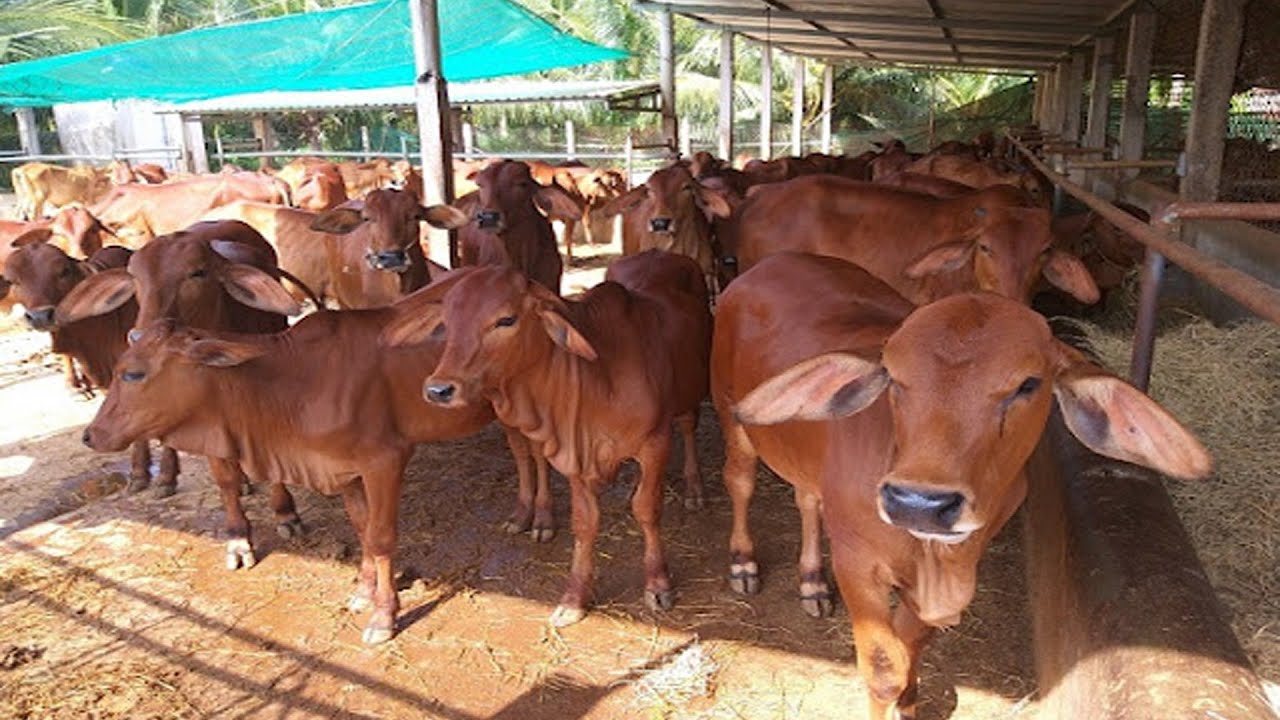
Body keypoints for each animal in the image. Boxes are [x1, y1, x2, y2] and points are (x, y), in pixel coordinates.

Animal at [81, 276, 548, 644]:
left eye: (133, 373)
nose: (90, 435)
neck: (295, 381)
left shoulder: (385, 459)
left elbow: (381, 536)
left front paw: (384, 615)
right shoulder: (342, 468)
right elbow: (362, 528)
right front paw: (363, 591)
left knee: (540, 452)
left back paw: (541, 518)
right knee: (520, 448)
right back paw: (521, 512)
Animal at [392, 250, 712, 628]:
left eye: (506, 320)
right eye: (448, 322)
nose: (438, 390)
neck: (598, 377)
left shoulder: (655, 443)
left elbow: (647, 509)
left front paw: (658, 584)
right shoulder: (575, 456)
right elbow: (584, 523)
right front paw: (574, 599)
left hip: (690, 393)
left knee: (689, 428)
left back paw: (694, 488)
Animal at [713, 252, 1212, 720]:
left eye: (1028, 384)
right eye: (892, 376)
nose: (919, 503)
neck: (933, 560)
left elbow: (911, 650)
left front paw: (910, 703)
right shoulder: (858, 564)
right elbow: (884, 668)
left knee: (807, 498)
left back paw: (813, 581)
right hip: (731, 416)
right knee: (739, 481)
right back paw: (743, 562)